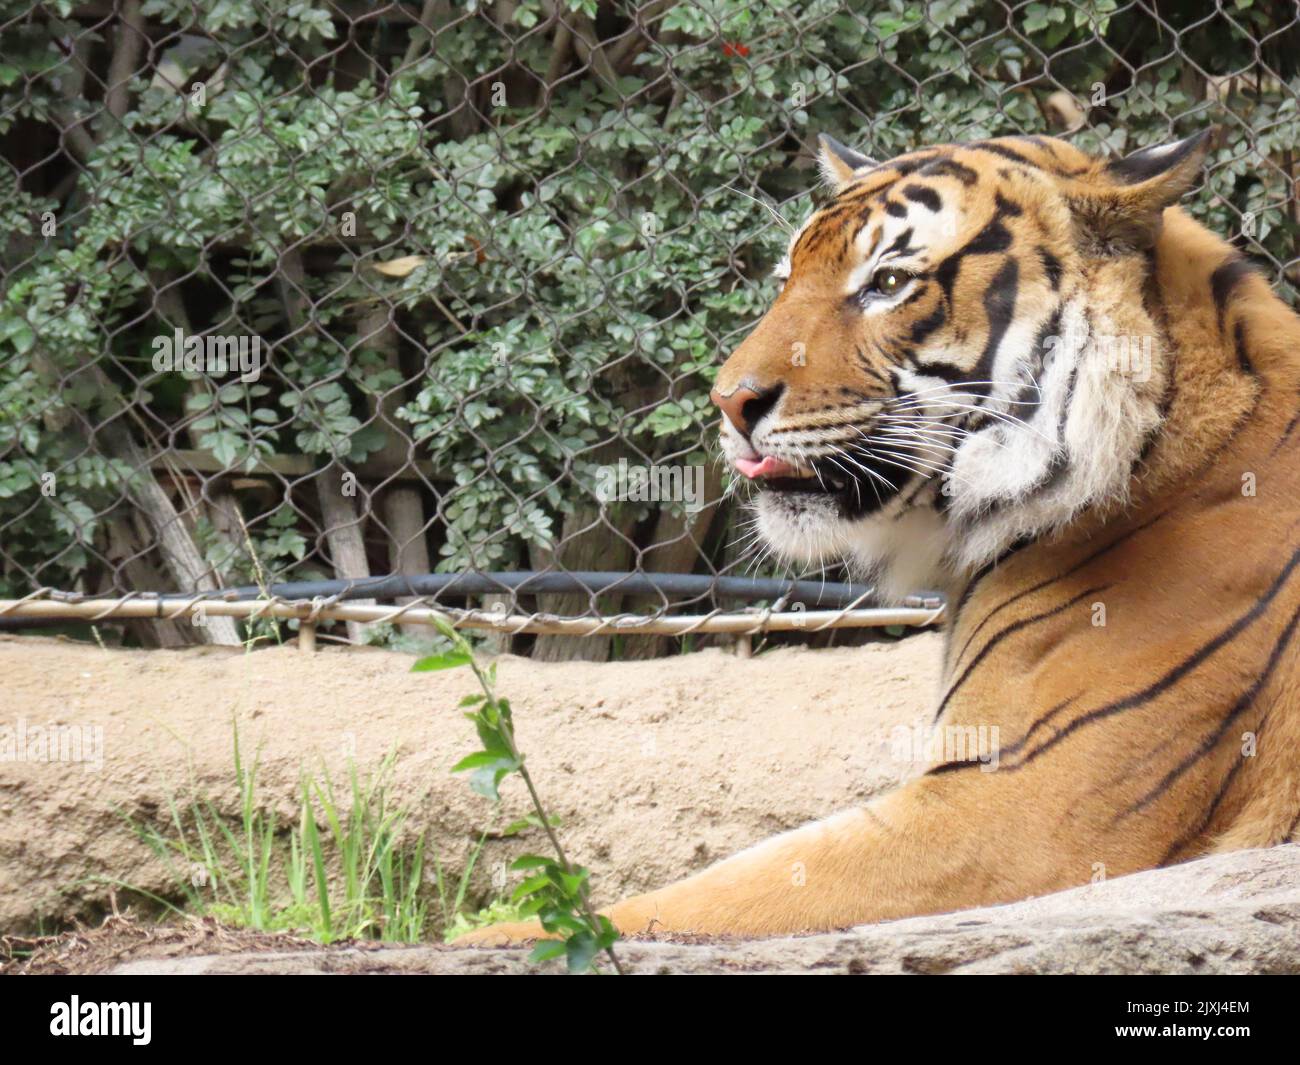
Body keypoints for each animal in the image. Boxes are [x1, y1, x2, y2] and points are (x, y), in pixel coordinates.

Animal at [460, 128, 1300, 944]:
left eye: (889, 284)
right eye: (786, 278)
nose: (728, 402)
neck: (1153, 450)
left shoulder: (1016, 812)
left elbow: (674, 904)